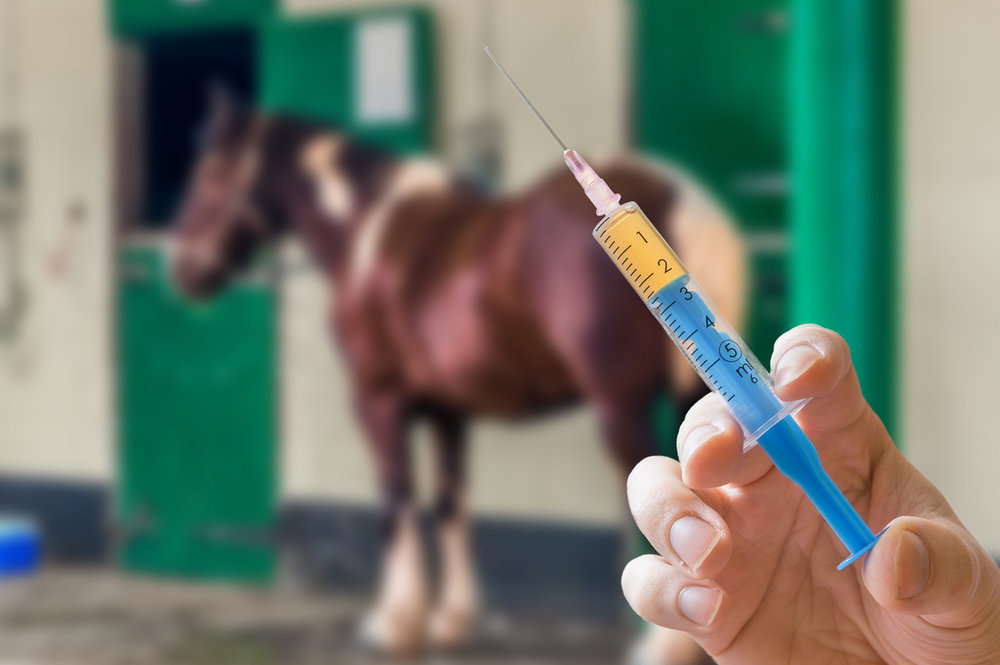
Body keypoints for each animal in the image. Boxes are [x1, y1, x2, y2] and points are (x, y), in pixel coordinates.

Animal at [170, 89, 745, 659]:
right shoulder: (447, 407)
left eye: (214, 171)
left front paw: (396, 625)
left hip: (619, 407)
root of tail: (678, 197)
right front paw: (454, 622)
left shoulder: (377, 399)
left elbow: (395, 499)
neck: (366, 235)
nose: (182, 272)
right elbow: (452, 502)